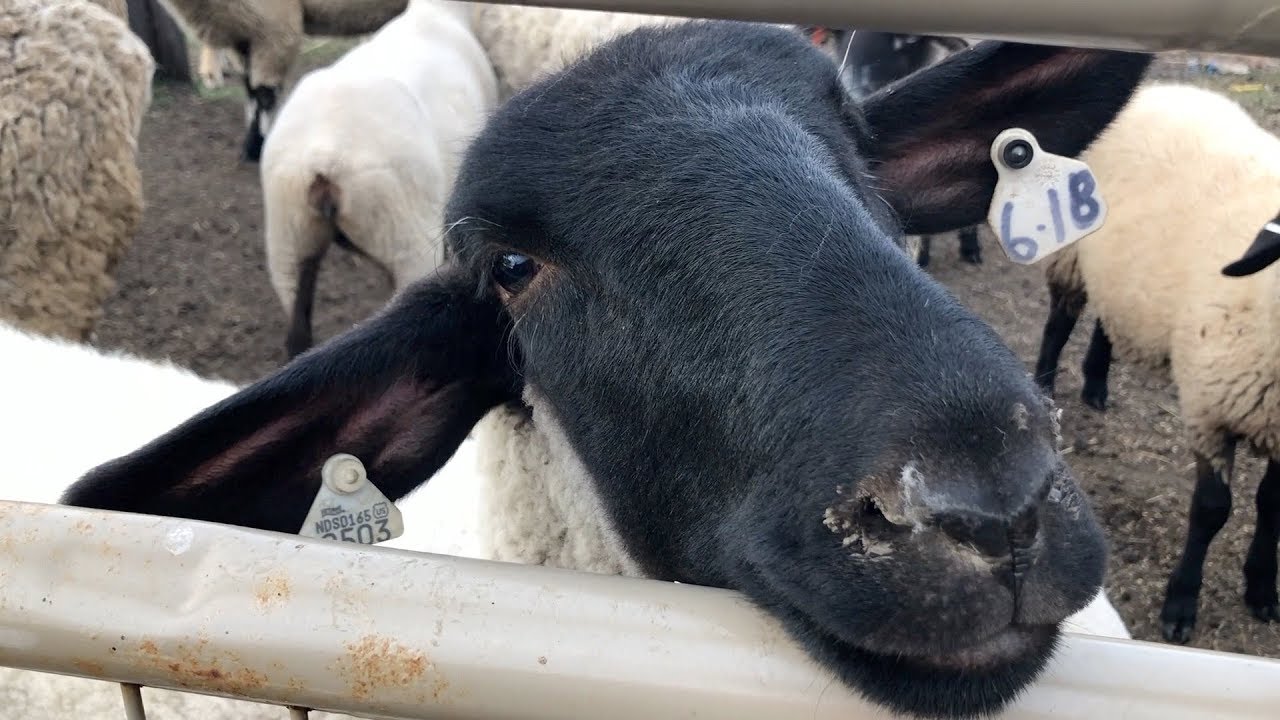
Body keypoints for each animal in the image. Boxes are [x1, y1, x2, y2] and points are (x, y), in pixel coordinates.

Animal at [1031, 82, 1280, 645]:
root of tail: (1163, 88)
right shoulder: (1210, 409)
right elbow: (1212, 510)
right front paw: (1181, 604)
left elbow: (1273, 506)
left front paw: (1261, 589)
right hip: (1071, 253)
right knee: (1059, 324)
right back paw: (1045, 387)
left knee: (1108, 320)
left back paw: (1096, 384)